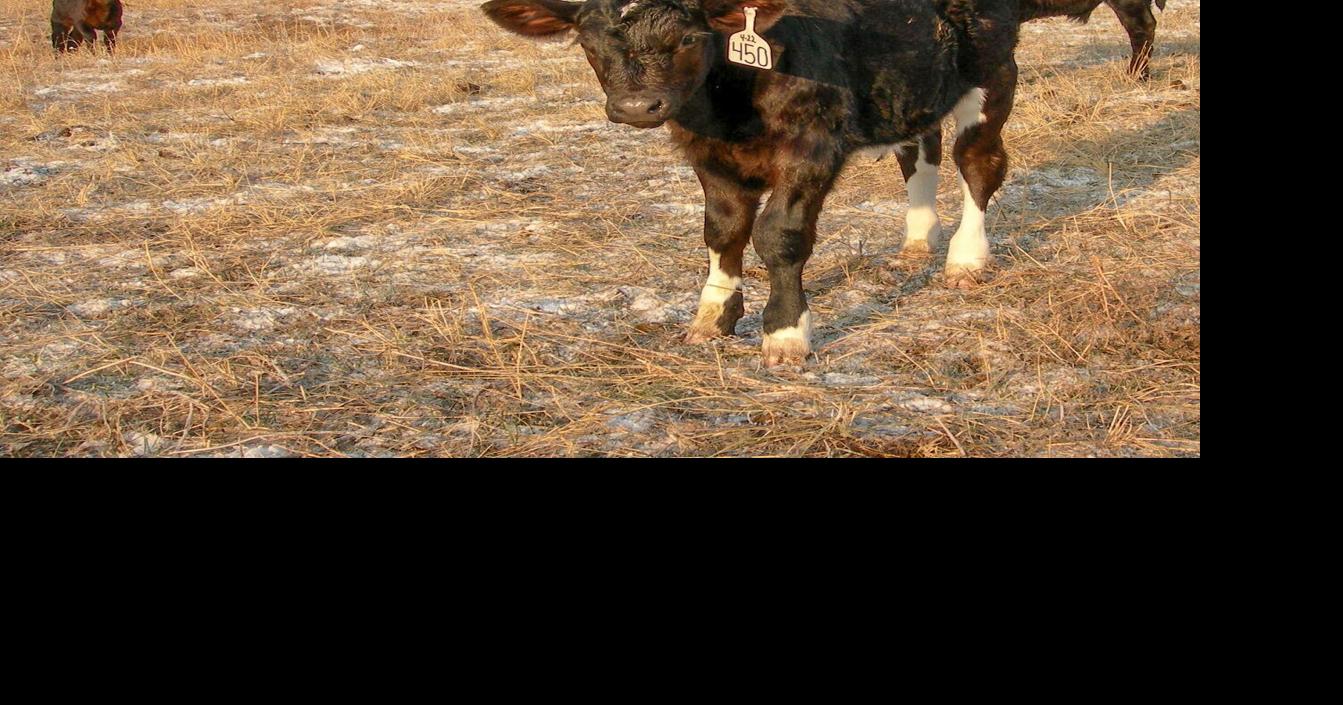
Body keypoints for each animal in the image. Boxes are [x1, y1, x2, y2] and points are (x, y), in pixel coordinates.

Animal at [482, 0, 1031, 367]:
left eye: (688, 38)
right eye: (588, 43)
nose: (636, 107)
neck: (728, 103)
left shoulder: (812, 147)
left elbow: (778, 235)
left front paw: (785, 334)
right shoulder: (708, 154)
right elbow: (722, 230)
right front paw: (712, 316)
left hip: (992, 72)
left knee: (978, 163)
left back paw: (965, 259)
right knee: (919, 150)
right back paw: (918, 241)